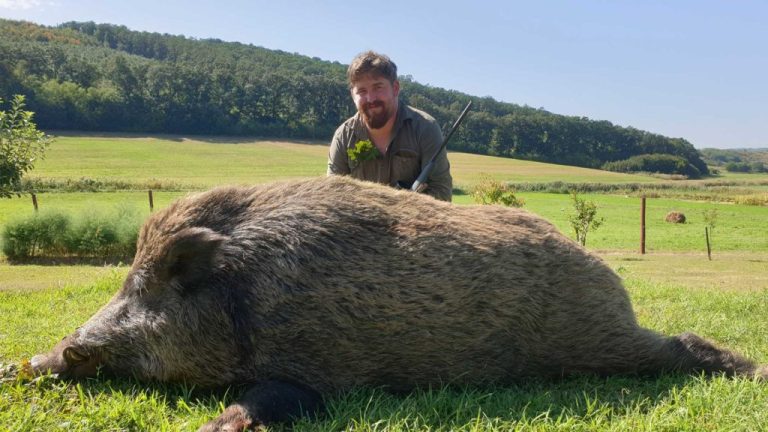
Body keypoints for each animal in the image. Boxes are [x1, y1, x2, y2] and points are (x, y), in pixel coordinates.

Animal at [31, 175, 766, 431]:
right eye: (129, 279)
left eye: (147, 286)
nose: (55, 353)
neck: (244, 291)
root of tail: (611, 281)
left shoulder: (314, 369)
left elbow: (266, 402)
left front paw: (216, 427)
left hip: (598, 339)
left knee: (682, 347)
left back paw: (751, 369)